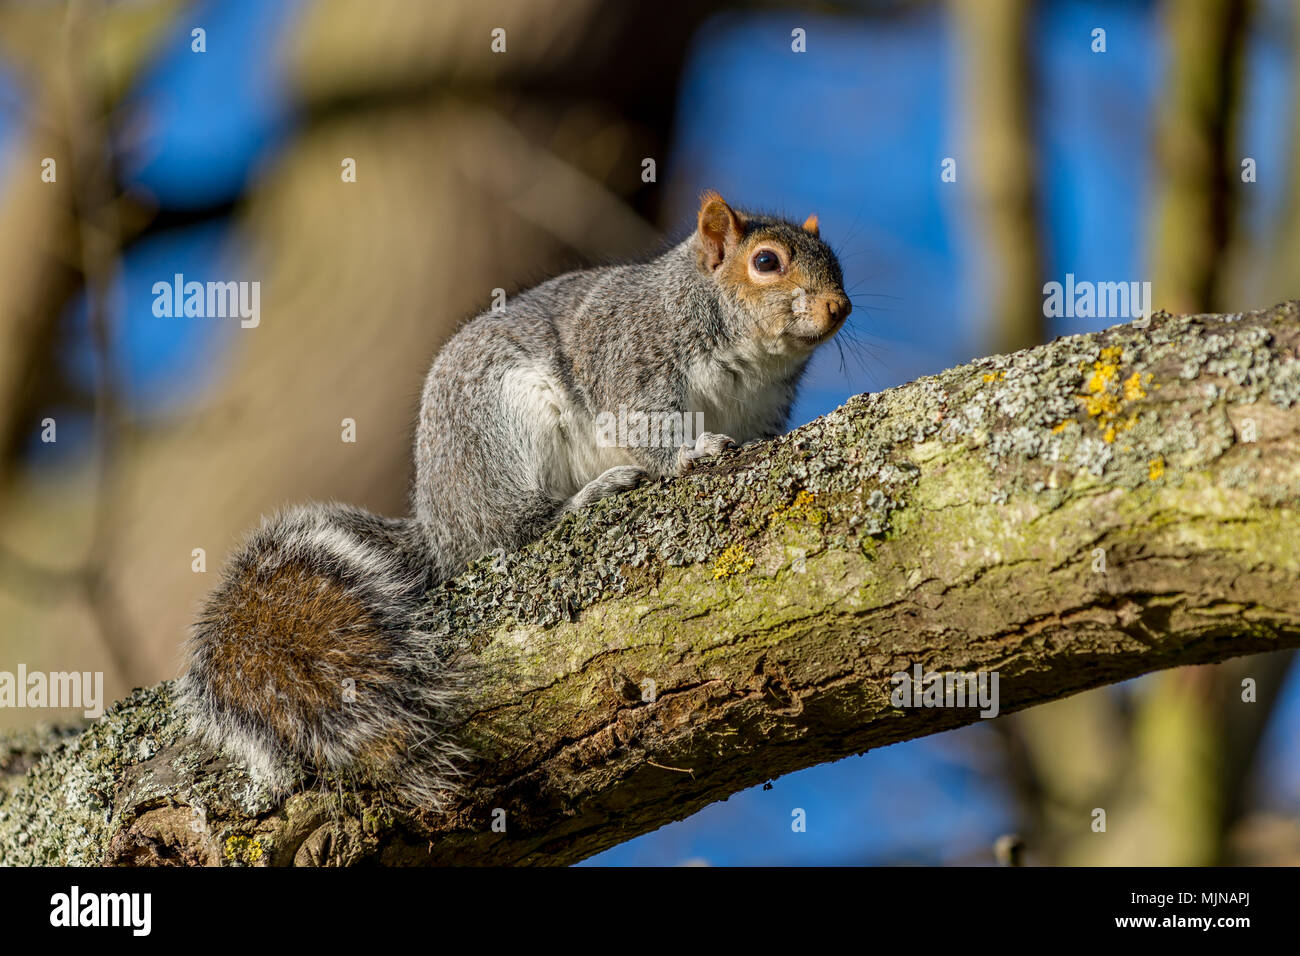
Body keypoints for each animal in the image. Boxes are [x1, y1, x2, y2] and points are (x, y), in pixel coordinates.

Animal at [178, 191, 852, 807]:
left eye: (836, 265)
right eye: (766, 261)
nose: (838, 306)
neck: (745, 361)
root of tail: (439, 528)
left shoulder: (763, 409)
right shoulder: (630, 360)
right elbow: (645, 428)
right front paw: (690, 454)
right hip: (501, 424)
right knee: (514, 529)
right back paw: (588, 496)